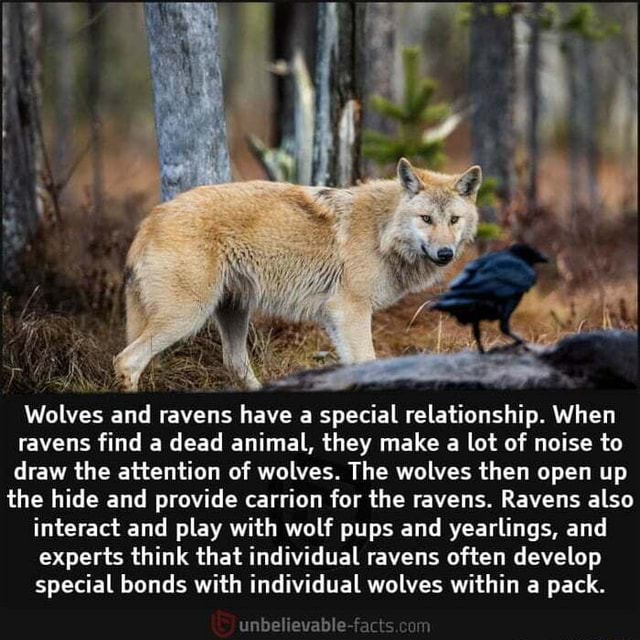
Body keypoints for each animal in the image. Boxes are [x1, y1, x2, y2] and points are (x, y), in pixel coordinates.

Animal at [114, 158, 481, 390]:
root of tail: (151, 219)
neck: (381, 231)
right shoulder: (351, 312)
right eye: (426, 219)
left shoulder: (336, 318)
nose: (445, 254)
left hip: (233, 313)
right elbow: (367, 361)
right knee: (126, 361)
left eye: (453, 220)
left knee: (235, 365)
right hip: (186, 317)